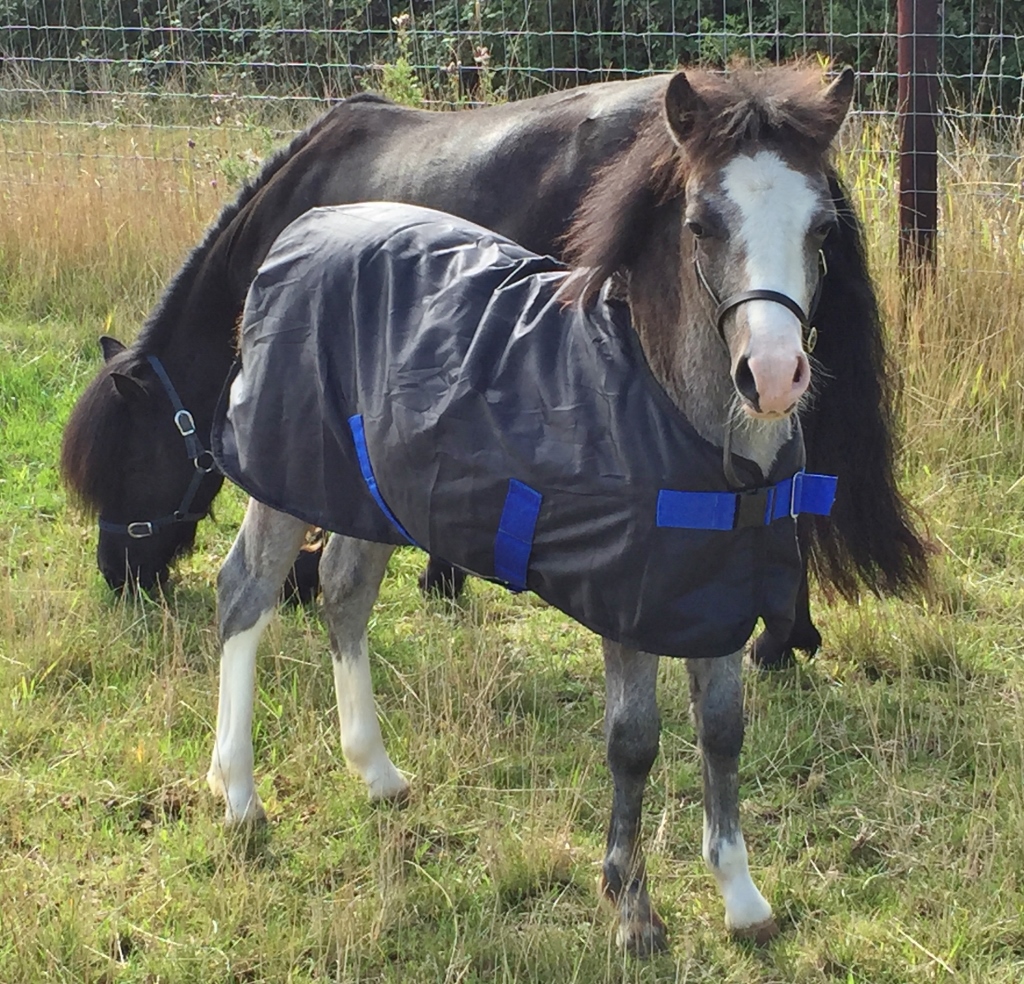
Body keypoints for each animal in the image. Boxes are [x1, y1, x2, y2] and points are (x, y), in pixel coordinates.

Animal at [60, 64, 928, 670]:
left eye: (128, 460)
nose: (117, 573)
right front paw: (438, 572)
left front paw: (317, 574)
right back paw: (788, 633)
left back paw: (774, 638)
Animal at [206, 67, 862, 954]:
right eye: (701, 223)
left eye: (823, 227)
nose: (772, 374)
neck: (666, 406)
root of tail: (299, 232)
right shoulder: (631, 604)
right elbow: (634, 743)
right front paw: (632, 907)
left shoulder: (714, 598)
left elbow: (723, 731)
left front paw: (743, 898)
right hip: (285, 475)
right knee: (245, 593)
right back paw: (240, 794)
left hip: (368, 492)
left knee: (343, 589)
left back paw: (375, 772)